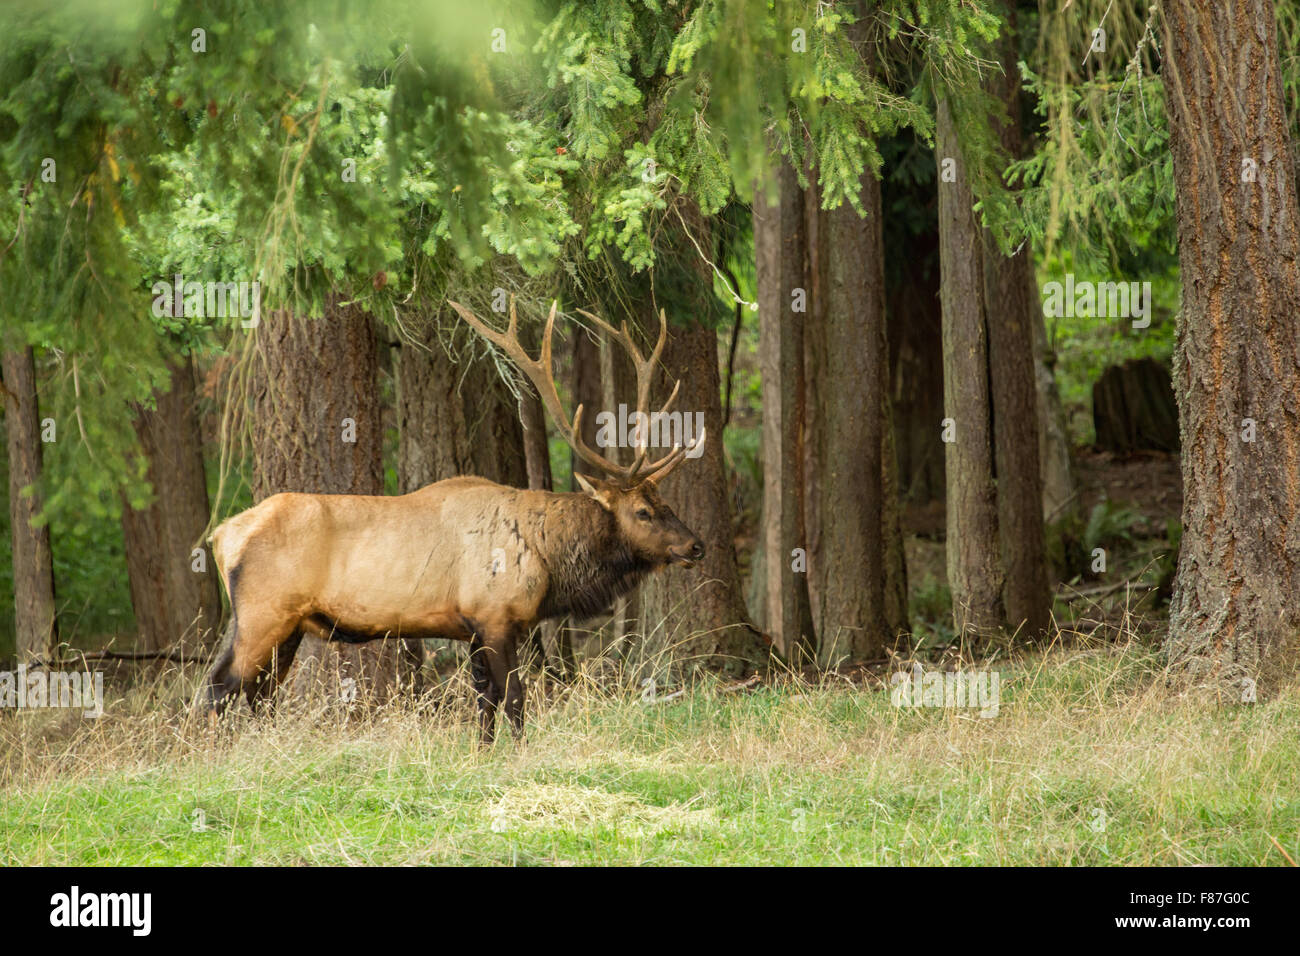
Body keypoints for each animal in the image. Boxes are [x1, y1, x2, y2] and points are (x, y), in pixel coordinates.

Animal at [199, 299, 706, 743]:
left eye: (664, 501)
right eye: (643, 511)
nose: (696, 545)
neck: (548, 561)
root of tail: (222, 536)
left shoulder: (472, 627)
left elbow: (485, 702)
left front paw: (483, 754)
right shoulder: (494, 616)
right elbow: (515, 697)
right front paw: (519, 754)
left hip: (286, 626)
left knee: (260, 694)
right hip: (263, 613)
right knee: (220, 687)